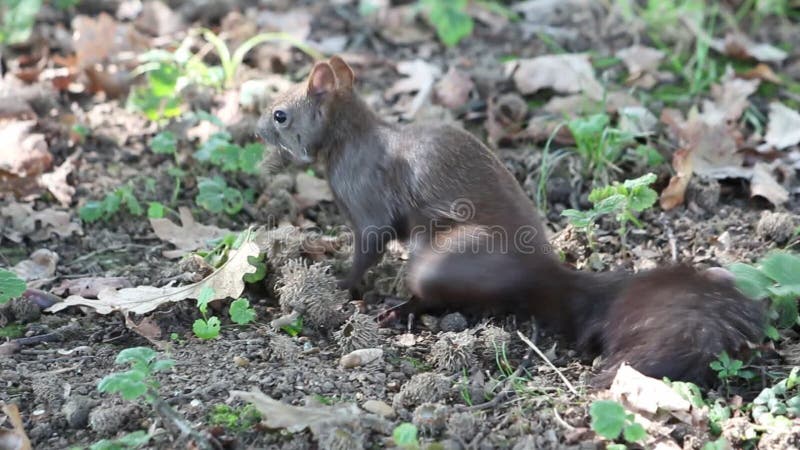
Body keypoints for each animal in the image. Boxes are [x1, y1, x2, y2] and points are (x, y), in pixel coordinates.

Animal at [257, 56, 765, 386]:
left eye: (280, 114)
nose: (256, 129)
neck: (351, 140)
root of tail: (544, 274)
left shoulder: (369, 205)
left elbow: (367, 248)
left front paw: (340, 286)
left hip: (441, 260)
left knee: (442, 296)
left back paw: (400, 310)